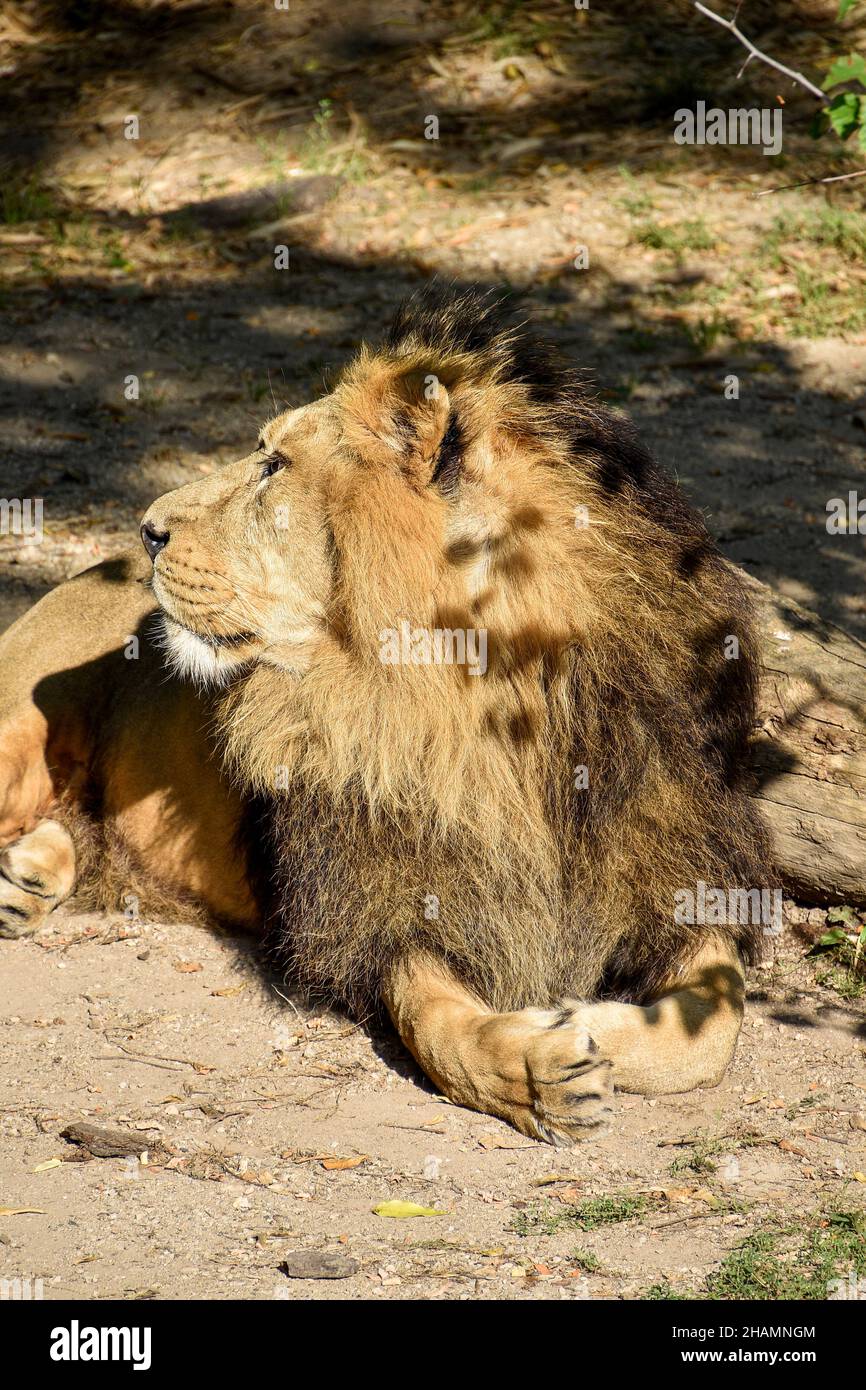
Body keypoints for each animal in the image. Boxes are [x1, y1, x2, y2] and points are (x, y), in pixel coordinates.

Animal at [0, 287, 771, 1144]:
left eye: (274, 465)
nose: (146, 528)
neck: (491, 706)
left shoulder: (672, 862)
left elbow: (716, 1018)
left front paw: (589, 1019)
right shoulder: (385, 900)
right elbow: (436, 1022)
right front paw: (535, 1070)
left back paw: (33, 874)